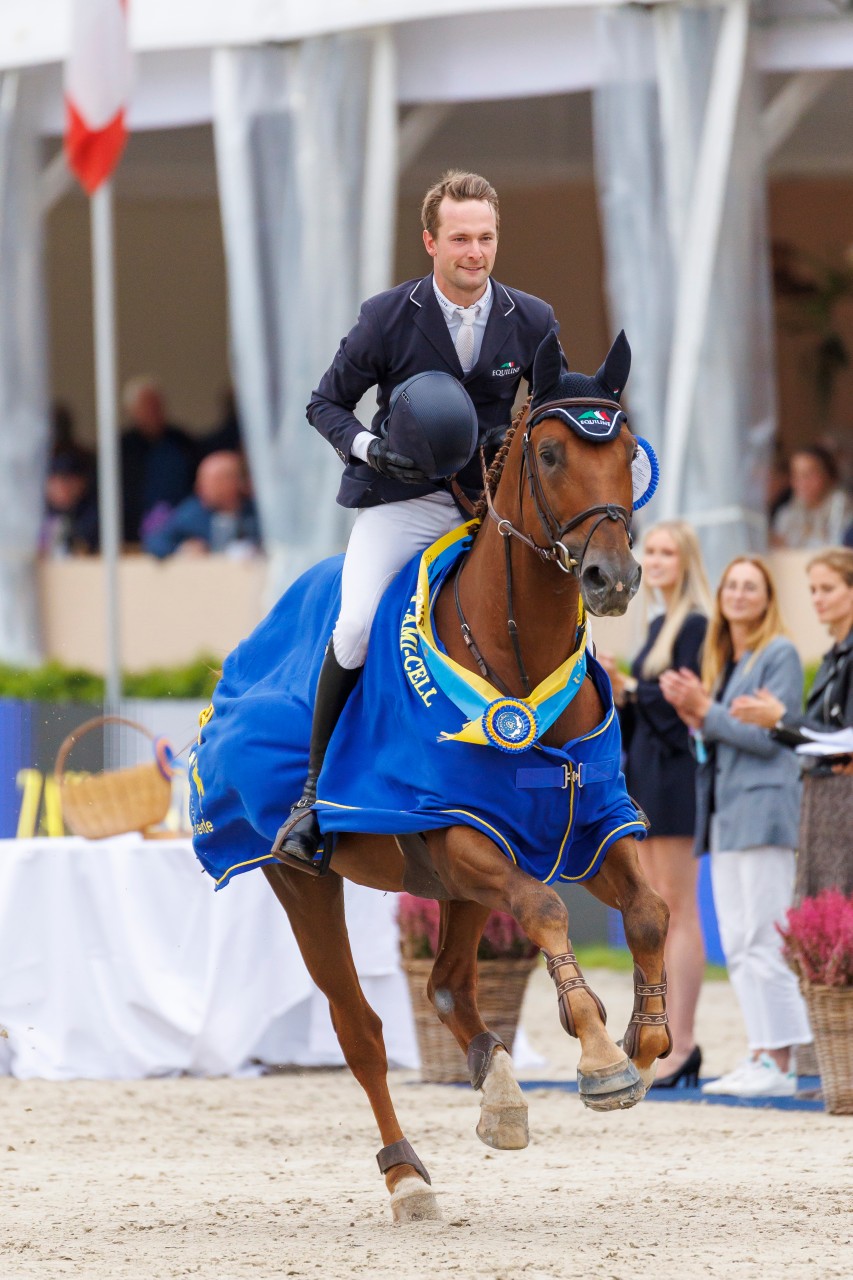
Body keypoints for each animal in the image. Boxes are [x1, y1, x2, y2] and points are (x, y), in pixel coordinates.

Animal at [191, 330, 671, 1224]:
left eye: (627, 452)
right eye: (548, 454)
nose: (611, 578)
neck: (514, 655)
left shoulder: (585, 826)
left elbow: (650, 913)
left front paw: (645, 1039)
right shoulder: (450, 830)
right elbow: (548, 909)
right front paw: (596, 1054)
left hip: (459, 884)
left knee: (448, 987)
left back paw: (500, 1097)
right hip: (305, 880)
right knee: (360, 1028)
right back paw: (407, 1175)